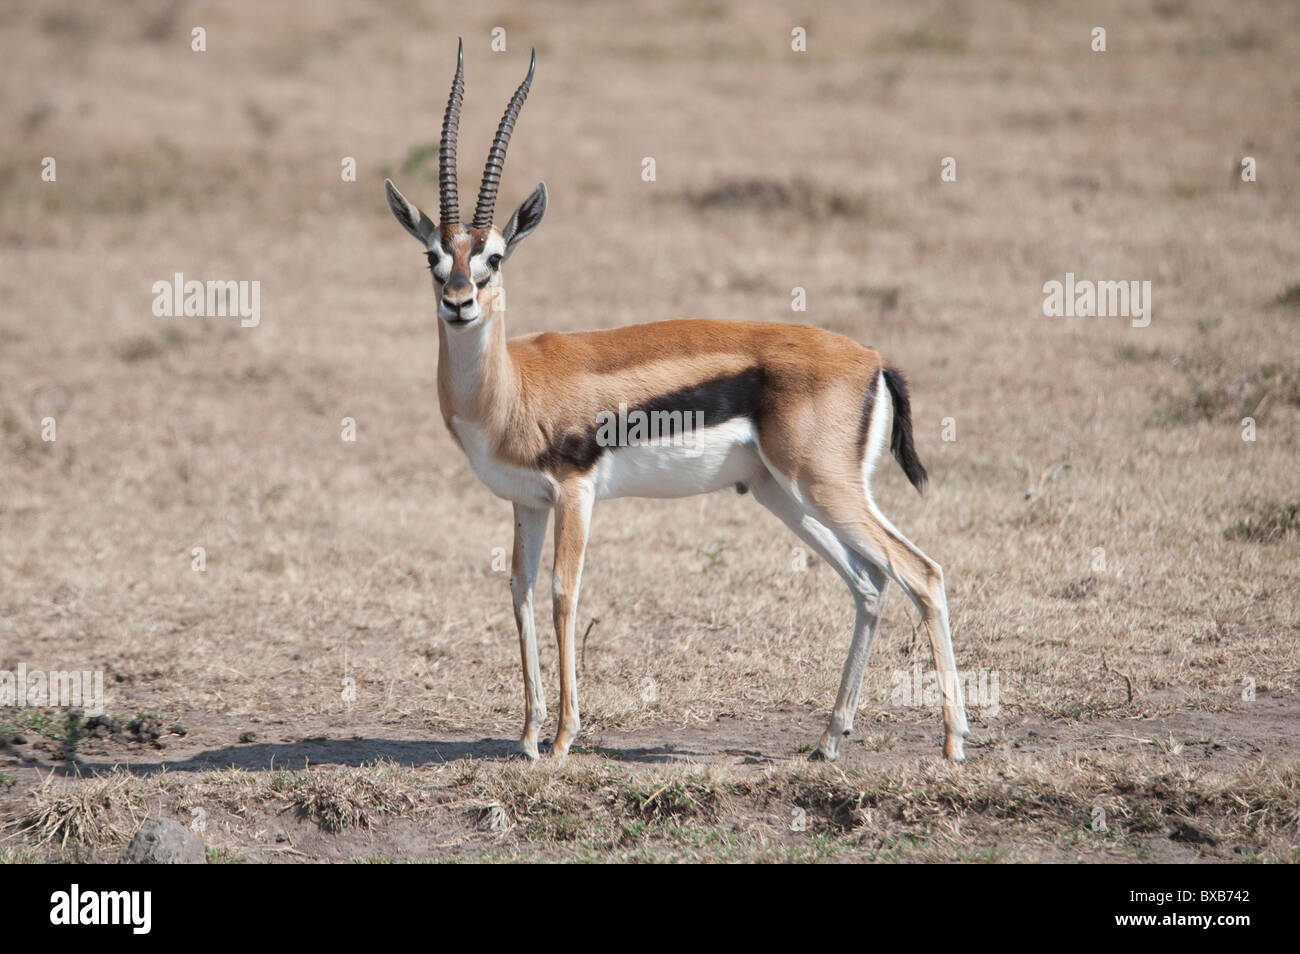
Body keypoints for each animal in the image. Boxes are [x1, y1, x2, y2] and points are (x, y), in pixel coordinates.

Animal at [384, 42, 970, 762]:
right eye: (434, 258)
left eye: (493, 256)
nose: (459, 303)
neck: (511, 386)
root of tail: (873, 358)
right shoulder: (527, 502)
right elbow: (518, 592)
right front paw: (526, 736)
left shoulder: (574, 494)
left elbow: (562, 593)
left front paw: (562, 739)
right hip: (783, 493)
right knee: (869, 583)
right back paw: (830, 739)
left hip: (826, 488)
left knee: (923, 573)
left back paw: (952, 743)